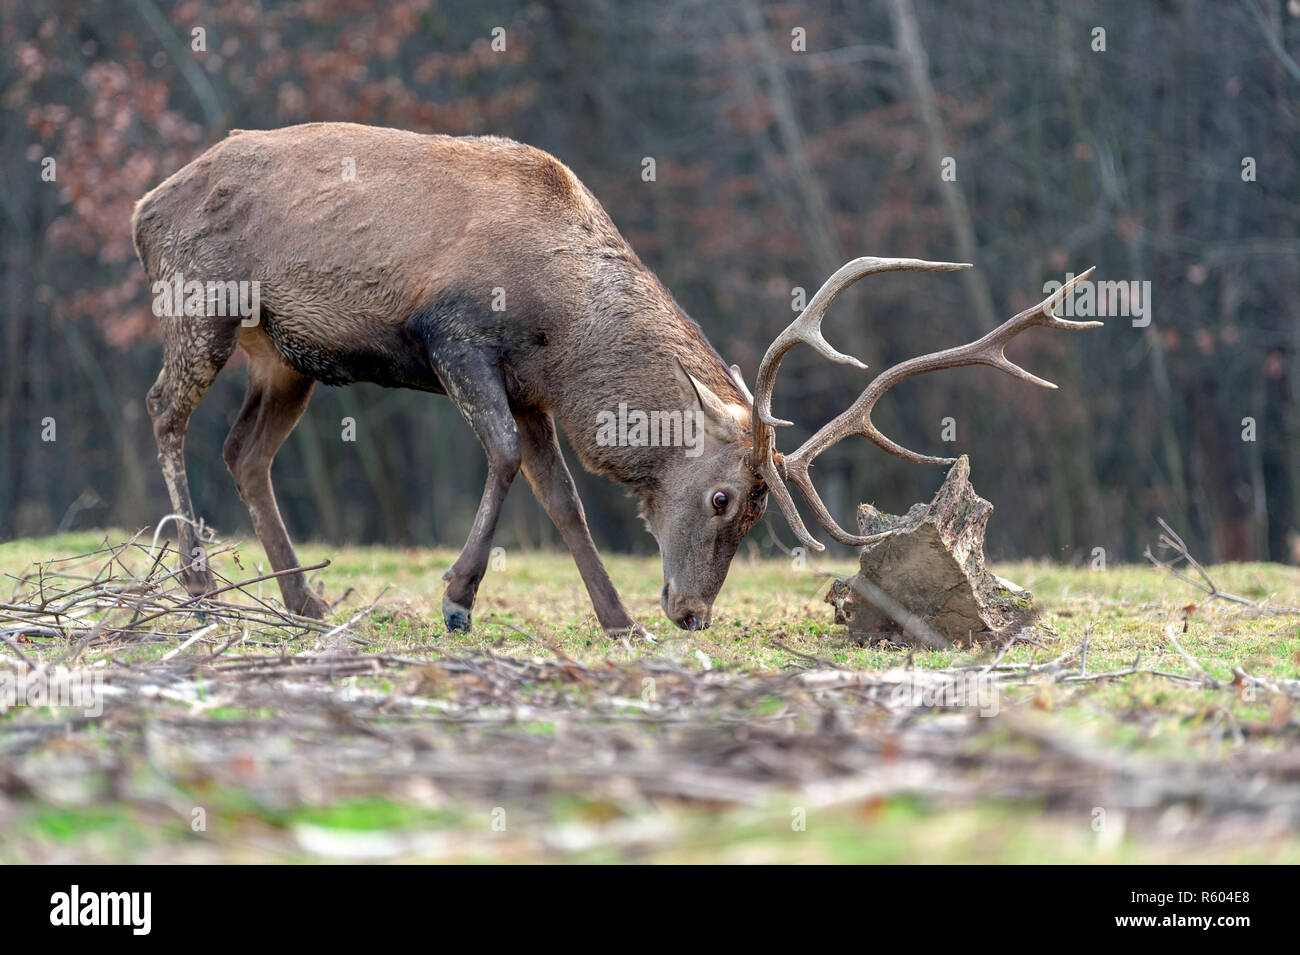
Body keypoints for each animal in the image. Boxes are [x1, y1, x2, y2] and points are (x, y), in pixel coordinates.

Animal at [132, 122, 1097, 637]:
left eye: (759, 513)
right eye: (723, 497)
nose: (691, 612)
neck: (565, 322)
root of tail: (146, 208)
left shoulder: (532, 385)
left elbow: (563, 496)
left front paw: (615, 616)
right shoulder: (454, 334)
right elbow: (503, 459)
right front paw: (457, 598)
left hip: (283, 354)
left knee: (244, 450)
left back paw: (301, 597)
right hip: (202, 298)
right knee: (164, 412)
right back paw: (201, 586)